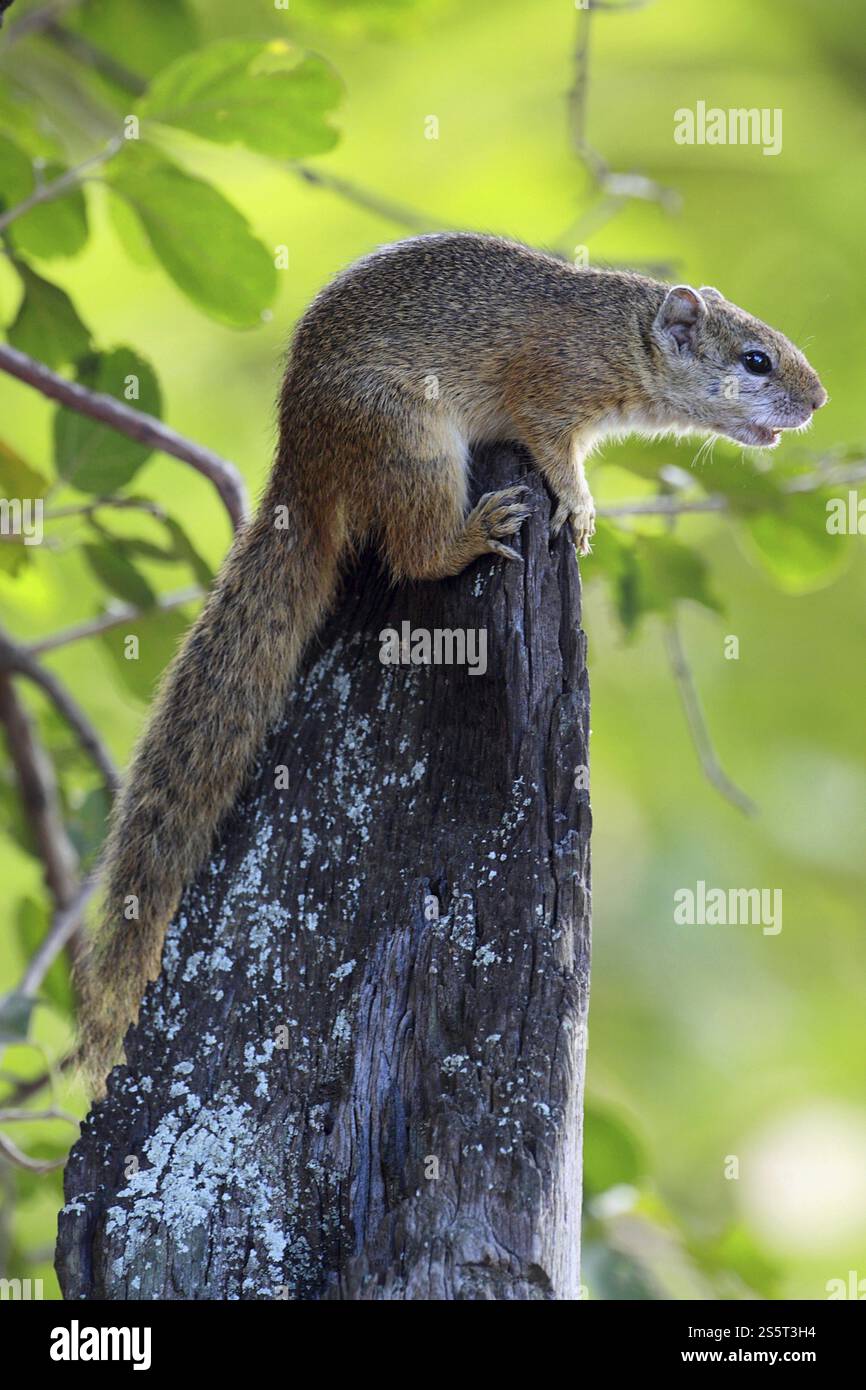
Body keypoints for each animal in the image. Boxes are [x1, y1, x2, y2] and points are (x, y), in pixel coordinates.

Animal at [79, 232, 827, 1094]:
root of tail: (304, 464)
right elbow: (555, 455)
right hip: (412, 441)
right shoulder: (551, 392)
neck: (618, 332)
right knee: (413, 551)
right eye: (756, 360)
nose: (819, 400)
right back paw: (472, 534)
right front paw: (579, 506)